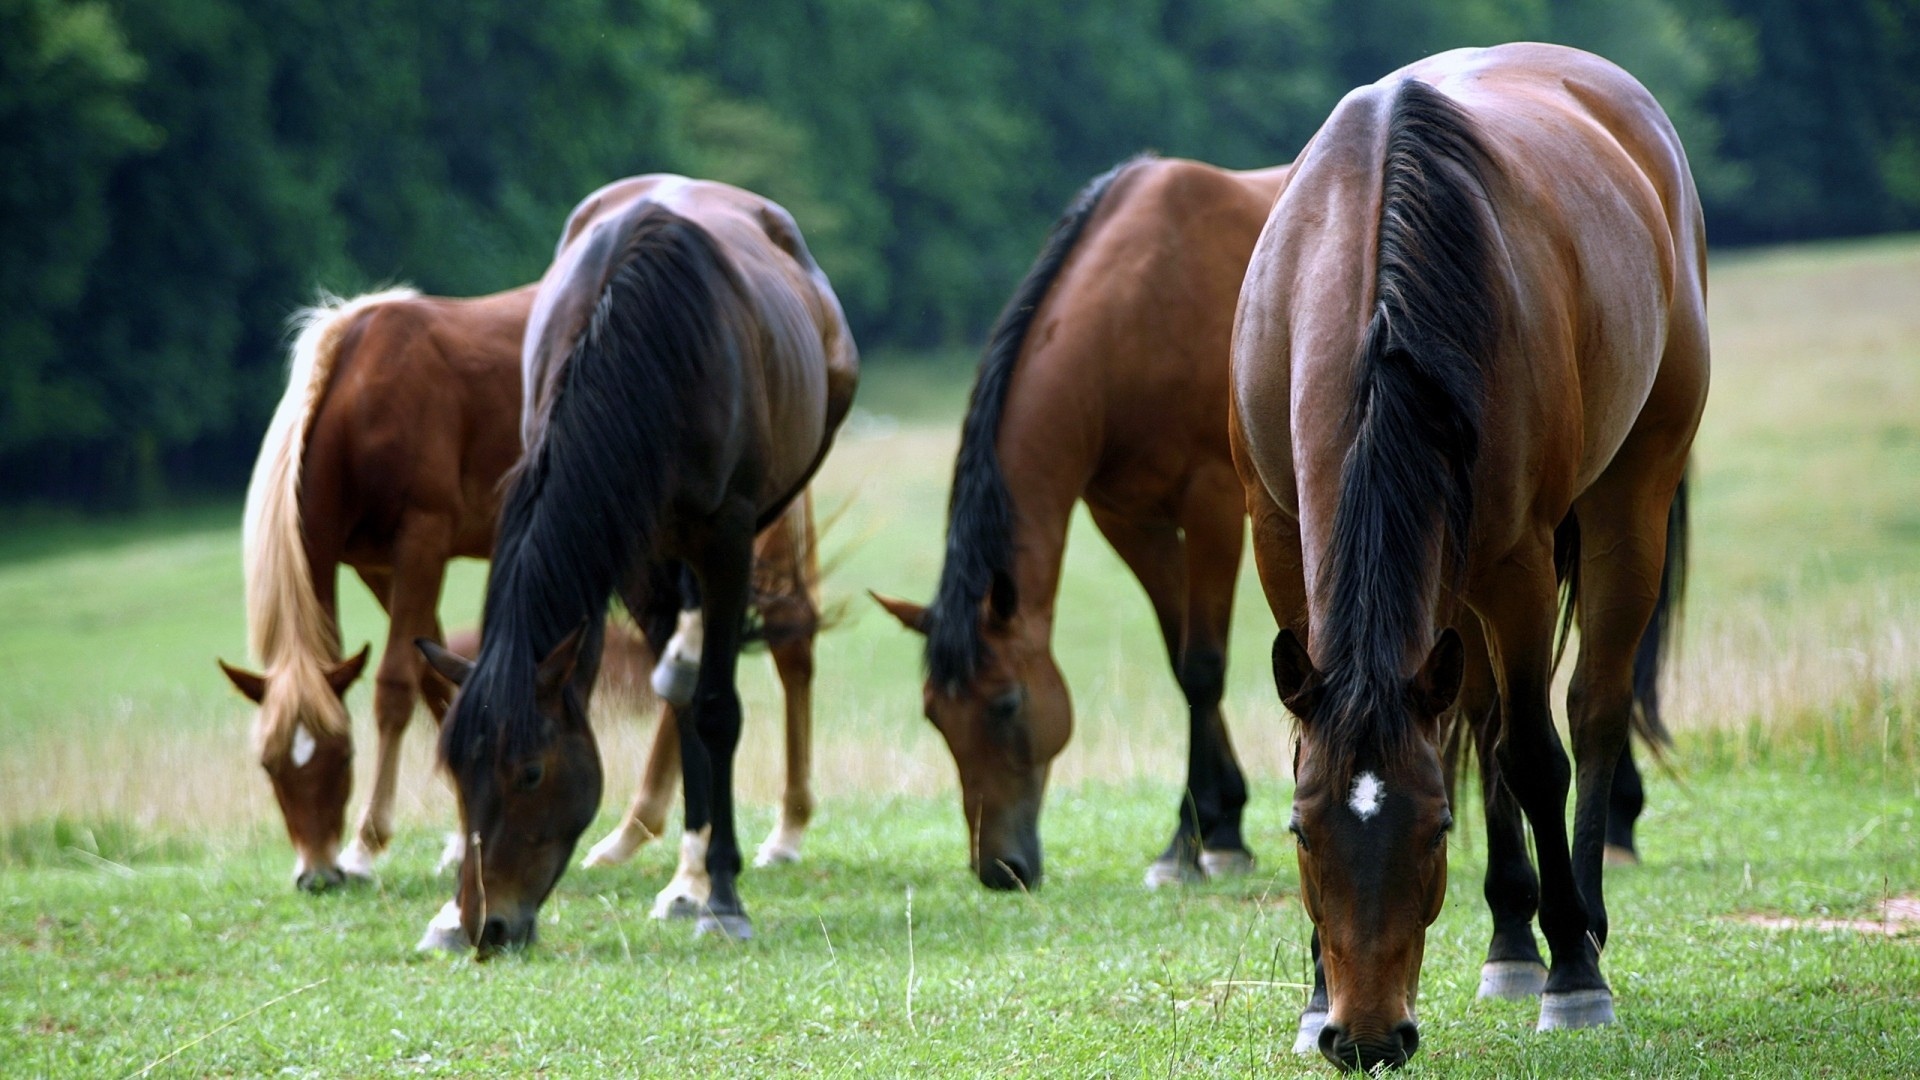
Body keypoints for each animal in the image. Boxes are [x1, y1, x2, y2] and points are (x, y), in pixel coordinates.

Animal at [219, 286, 823, 894]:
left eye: (343, 755)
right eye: (268, 764)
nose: (317, 873)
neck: (359, 398)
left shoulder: (422, 540)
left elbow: (396, 687)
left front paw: (367, 846)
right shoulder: (378, 566)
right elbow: (440, 682)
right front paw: (462, 835)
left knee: (787, 645)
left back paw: (782, 833)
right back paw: (635, 833)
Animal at [416, 174, 857, 953]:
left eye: (531, 773)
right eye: (456, 773)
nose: (486, 924)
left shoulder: (726, 536)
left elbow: (715, 709)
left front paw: (723, 897)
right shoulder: (628, 546)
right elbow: (683, 708)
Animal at [1231, 43, 1708, 1070]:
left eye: (1435, 826)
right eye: (1300, 830)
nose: (1367, 1039)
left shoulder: (1519, 564)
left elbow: (1534, 754)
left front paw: (1575, 976)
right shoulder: (1279, 537)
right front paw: (1314, 995)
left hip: (1628, 499)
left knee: (1591, 708)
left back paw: (1577, 927)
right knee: (1482, 716)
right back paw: (1510, 940)